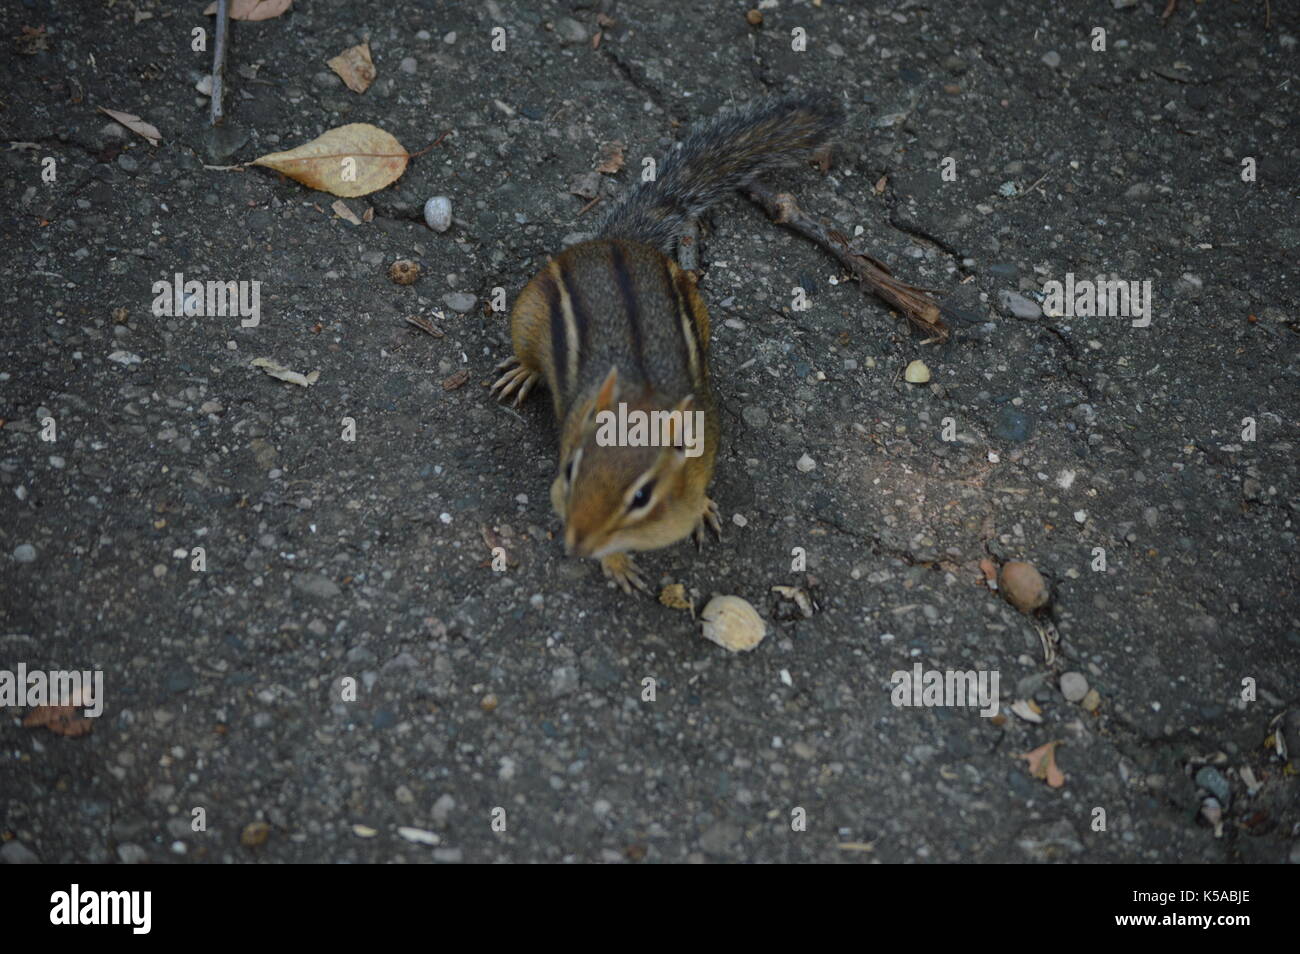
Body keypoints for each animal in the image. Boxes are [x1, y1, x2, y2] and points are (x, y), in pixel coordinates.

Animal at [491, 93, 844, 594]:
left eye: (642, 496)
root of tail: (617, 242)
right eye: (569, 469)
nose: (575, 545)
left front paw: (703, 511)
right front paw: (617, 565)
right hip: (525, 312)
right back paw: (523, 371)